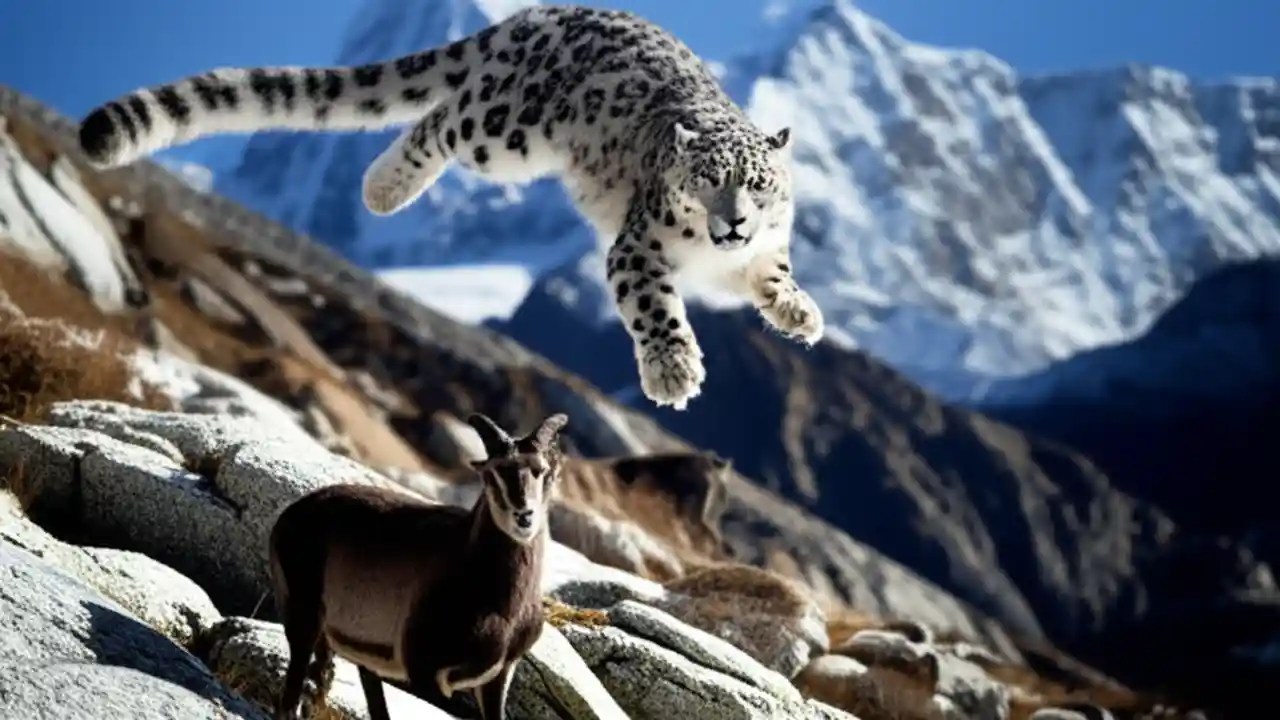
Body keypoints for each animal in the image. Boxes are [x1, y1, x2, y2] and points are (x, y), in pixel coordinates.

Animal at [77, 4, 824, 410]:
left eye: (759, 185)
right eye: (705, 178)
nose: (734, 220)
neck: (712, 260)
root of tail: (542, 12)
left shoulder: (761, 254)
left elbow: (777, 274)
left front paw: (801, 314)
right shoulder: (639, 246)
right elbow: (656, 307)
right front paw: (674, 370)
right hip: (506, 129)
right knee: (439, 118)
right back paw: (382, 189)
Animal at [266, 411, 569, 720]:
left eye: (543, 471)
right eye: (491, 472)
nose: (523, 515)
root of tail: (289, 515)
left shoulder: (497, 677)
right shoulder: (425, 673)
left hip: (352, 651)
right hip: (304, 617)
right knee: (290, 696)